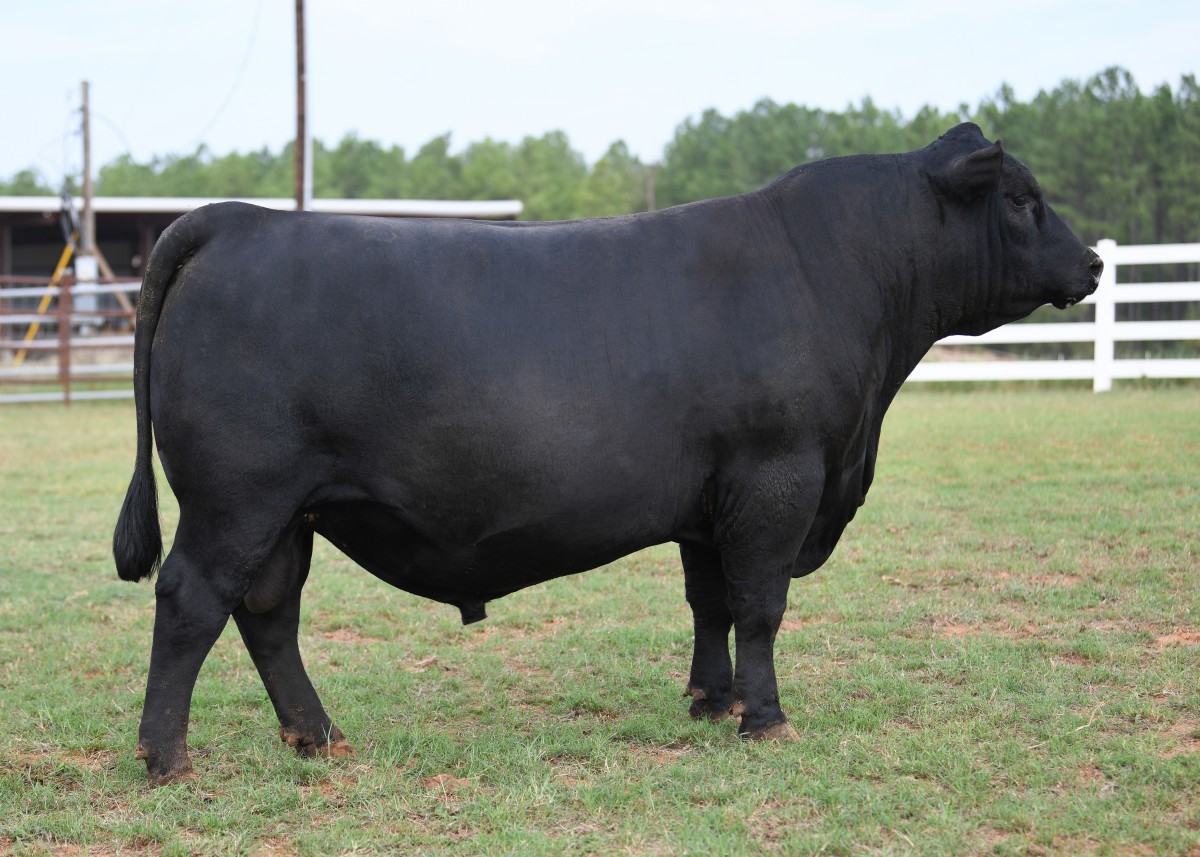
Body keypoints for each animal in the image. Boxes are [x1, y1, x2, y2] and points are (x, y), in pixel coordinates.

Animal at [113, 123, 1101, 783]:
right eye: (1021, 199)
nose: (1092, 263)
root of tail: (242, 221)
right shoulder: (777, 477)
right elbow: (761, 604)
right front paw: (767, 717)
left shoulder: (713, 498)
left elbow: (711, 601)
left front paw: (712, 700)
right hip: (236, 499)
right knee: (192, 601)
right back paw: (167, 756)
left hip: (288, 511)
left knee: (268, 613)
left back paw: (319, 737)